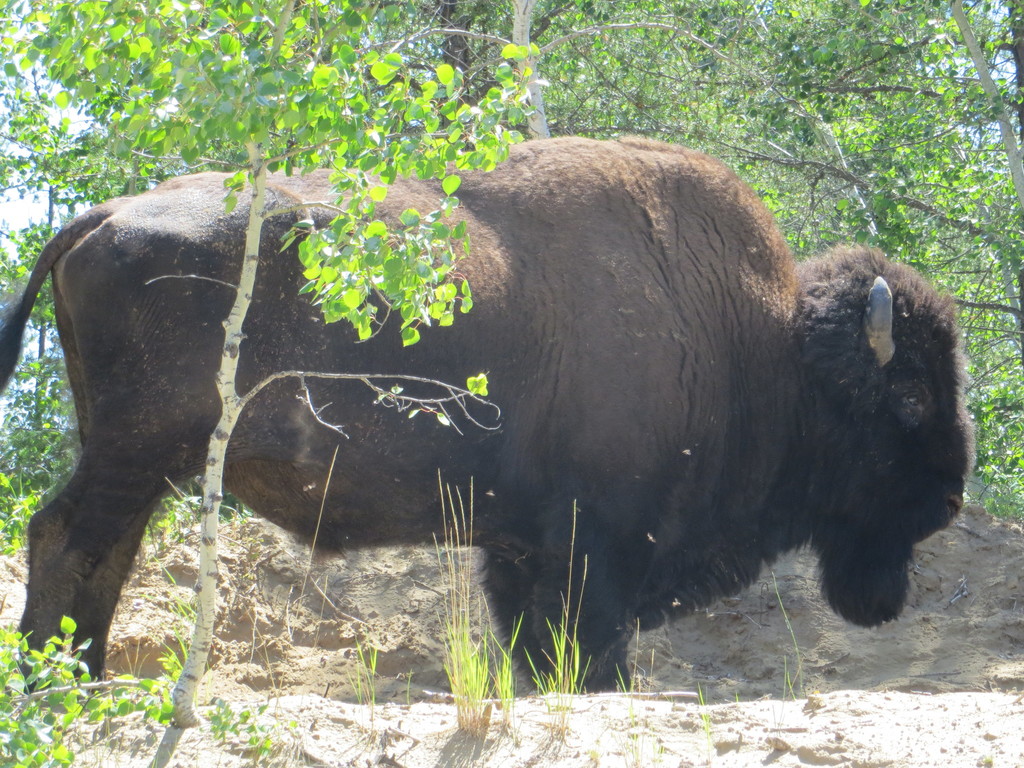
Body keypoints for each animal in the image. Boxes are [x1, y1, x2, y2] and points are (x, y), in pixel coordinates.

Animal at [2, 137, 973, 690]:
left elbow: (530, 644)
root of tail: (102, 215)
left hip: (140, 459)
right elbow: (585, 643)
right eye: (912, 396)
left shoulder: (520, 543)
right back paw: (61, 685)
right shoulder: (599, 540)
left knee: (101, 549)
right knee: (68, 537)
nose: (952, 497)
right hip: (138, 452)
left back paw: (79, 677)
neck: (761, 346)